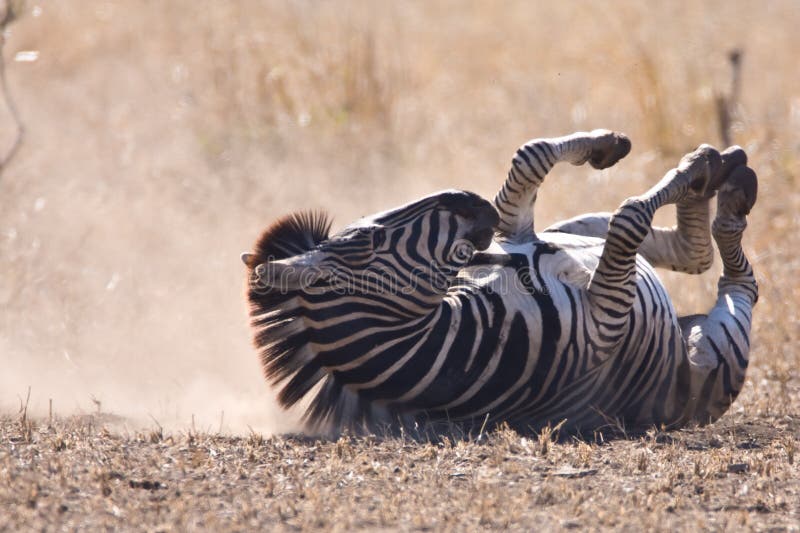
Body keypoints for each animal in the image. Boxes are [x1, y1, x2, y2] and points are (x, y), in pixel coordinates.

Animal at [241, 129, 758, 435]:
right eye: (370, 239)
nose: (467, 198)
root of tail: (685, 327)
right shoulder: (604, 324)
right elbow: (629, 214)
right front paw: (691, 170)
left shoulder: (518, 234)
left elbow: (529, 157)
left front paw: (604, 144)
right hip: (717, 349)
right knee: (734, 278)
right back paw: (726, 188)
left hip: (570, 229)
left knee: (691, 252)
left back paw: (717, 171)